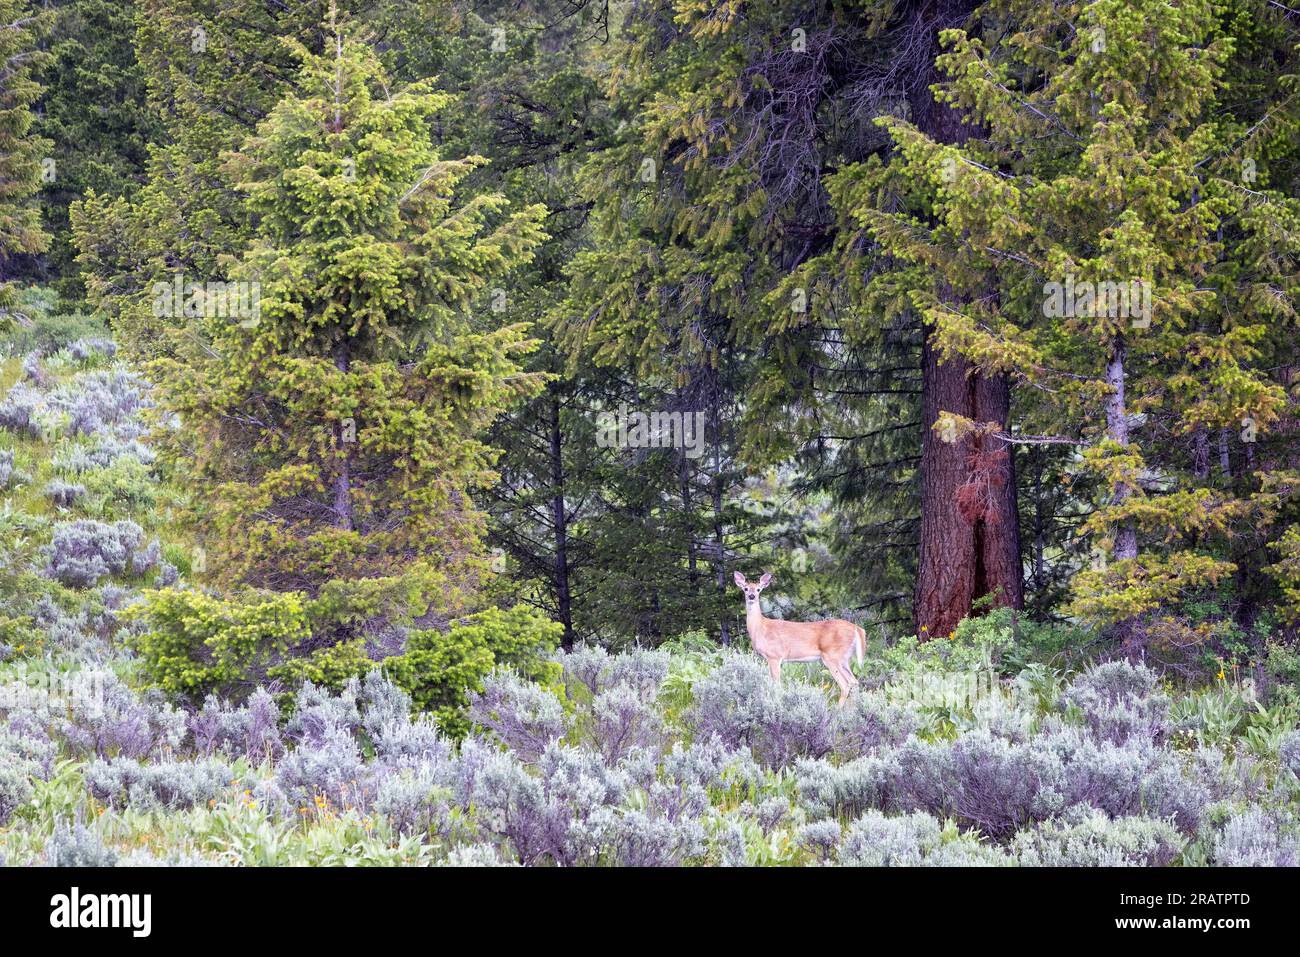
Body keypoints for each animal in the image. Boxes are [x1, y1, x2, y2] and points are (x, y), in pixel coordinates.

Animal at [733, 571, 864, 706]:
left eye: (758, 589)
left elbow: (776, 684)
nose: (752, 596)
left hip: (832, 656)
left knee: (845, 684)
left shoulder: (774, 655)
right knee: (854, 682)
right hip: (844, 659)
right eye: (745, 588)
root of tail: (858, 629)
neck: (761, 628)